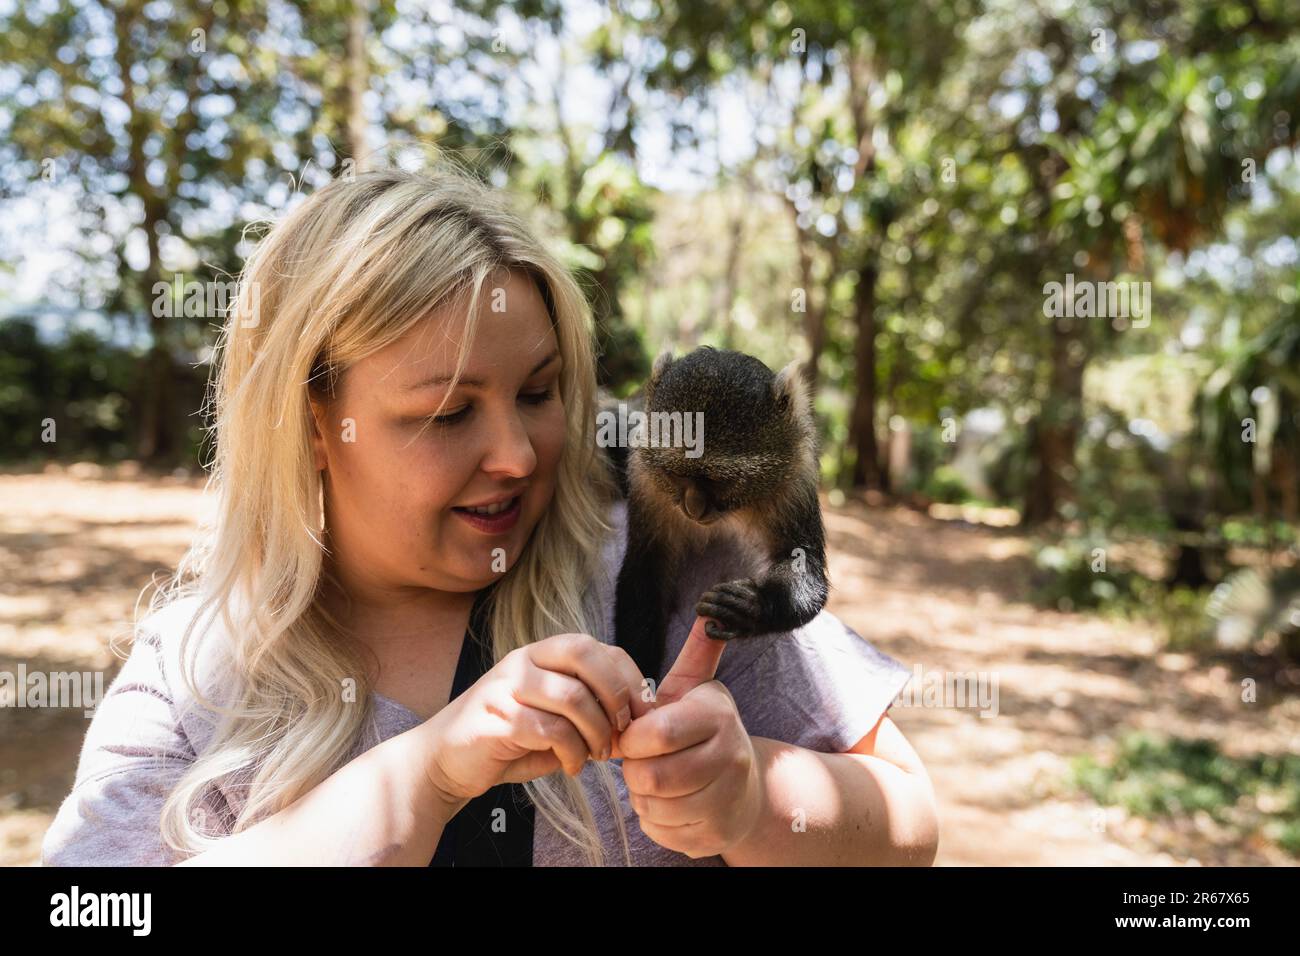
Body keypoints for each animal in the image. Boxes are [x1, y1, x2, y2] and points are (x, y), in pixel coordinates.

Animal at [609, 346, 830, 684]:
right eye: (675, 473)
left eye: (719, 481)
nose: (693, 507)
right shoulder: (646, 480)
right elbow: (645, 571)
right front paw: (640, 675)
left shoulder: (794, 480)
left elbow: (805, 567)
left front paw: (754, 606)